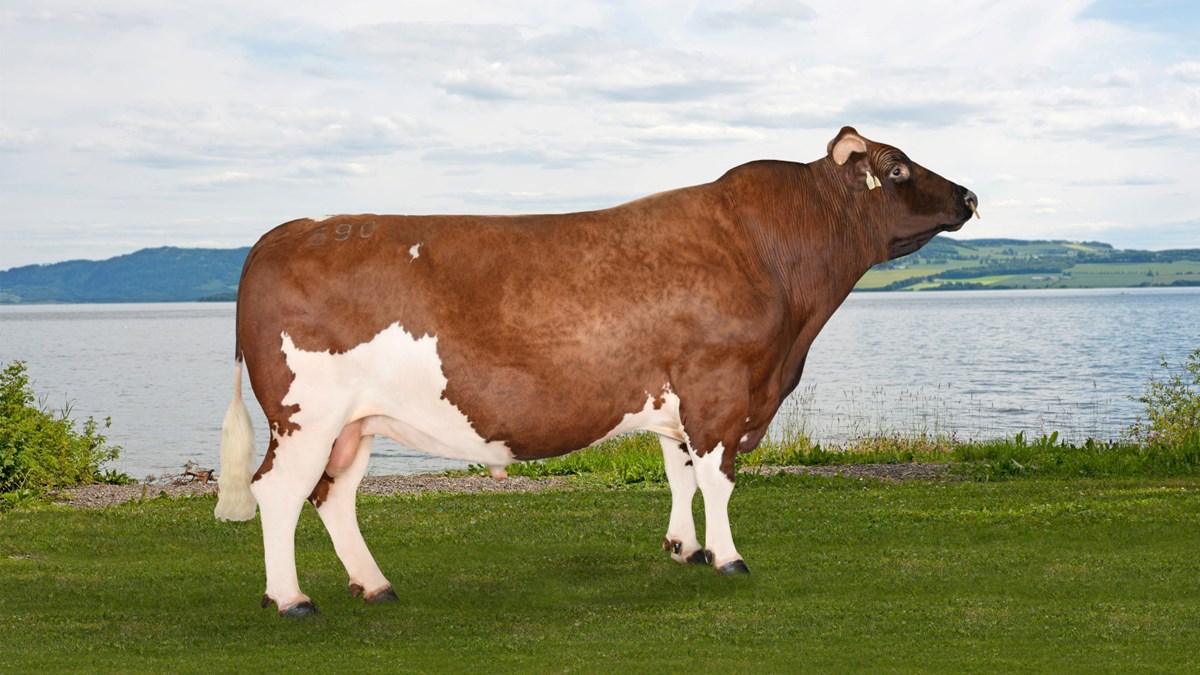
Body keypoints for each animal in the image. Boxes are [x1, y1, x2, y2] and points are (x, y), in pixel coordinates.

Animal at [215, 126, 978, 617]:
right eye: (899, 167)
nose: (970, 196)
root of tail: (285, 231)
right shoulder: (722, 387)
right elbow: (718, 478)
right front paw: (729, 557)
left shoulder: (680, 395)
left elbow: (679, 472)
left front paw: (685, 548)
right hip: (307, 414)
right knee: (280, 492)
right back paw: (291, 599)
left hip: (356, 422)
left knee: (333, 495)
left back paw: (373, 585)